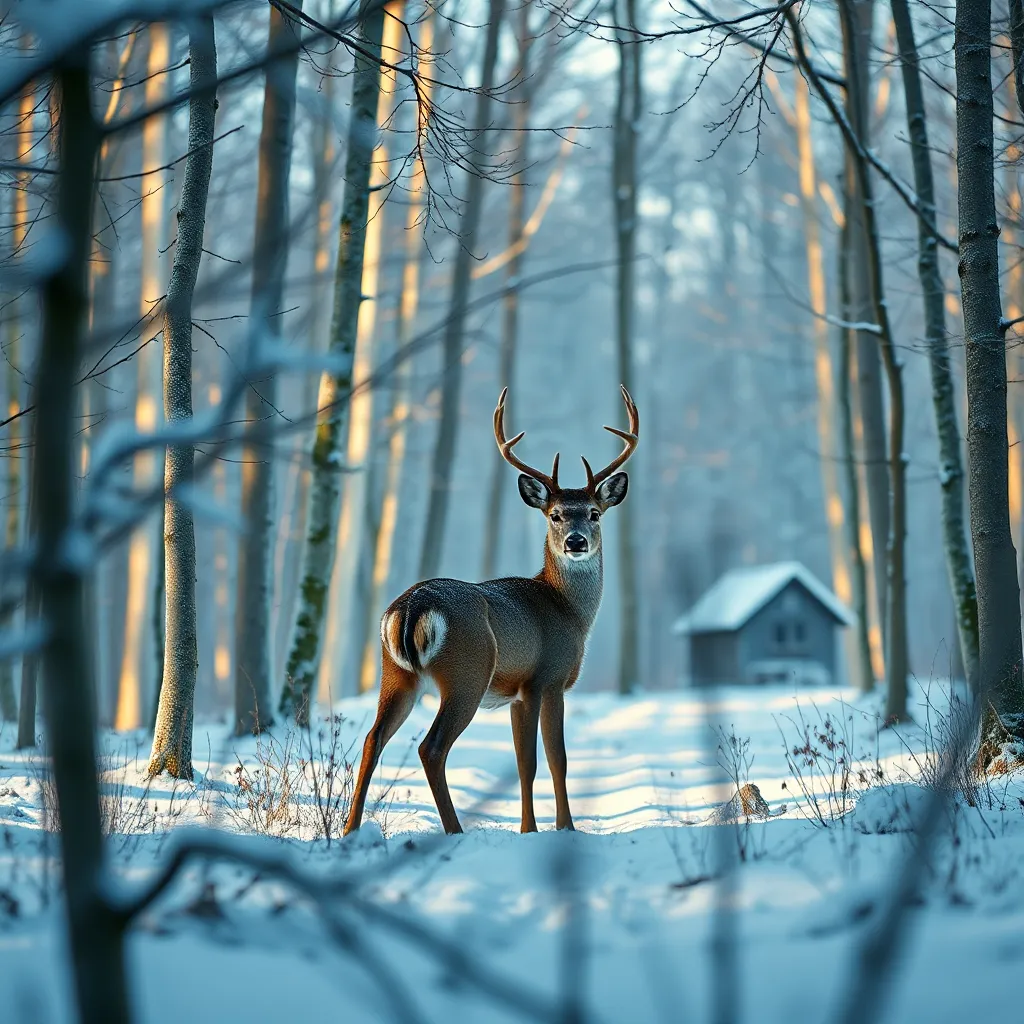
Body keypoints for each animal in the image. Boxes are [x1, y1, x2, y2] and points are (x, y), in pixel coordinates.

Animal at [343, 386, 639, 836]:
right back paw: (454, 830)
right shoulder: (546, 678)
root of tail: (412, 605)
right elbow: (550, 760)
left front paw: (533, 827)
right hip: (468, 671)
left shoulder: (518, 694)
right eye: (554, 515)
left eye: (594, 514)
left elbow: (522, 762)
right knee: (431, 747)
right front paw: (556, 828)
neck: (569, 611)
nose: (576, 542)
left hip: (395, 674)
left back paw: (350, 830)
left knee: (372, 739)